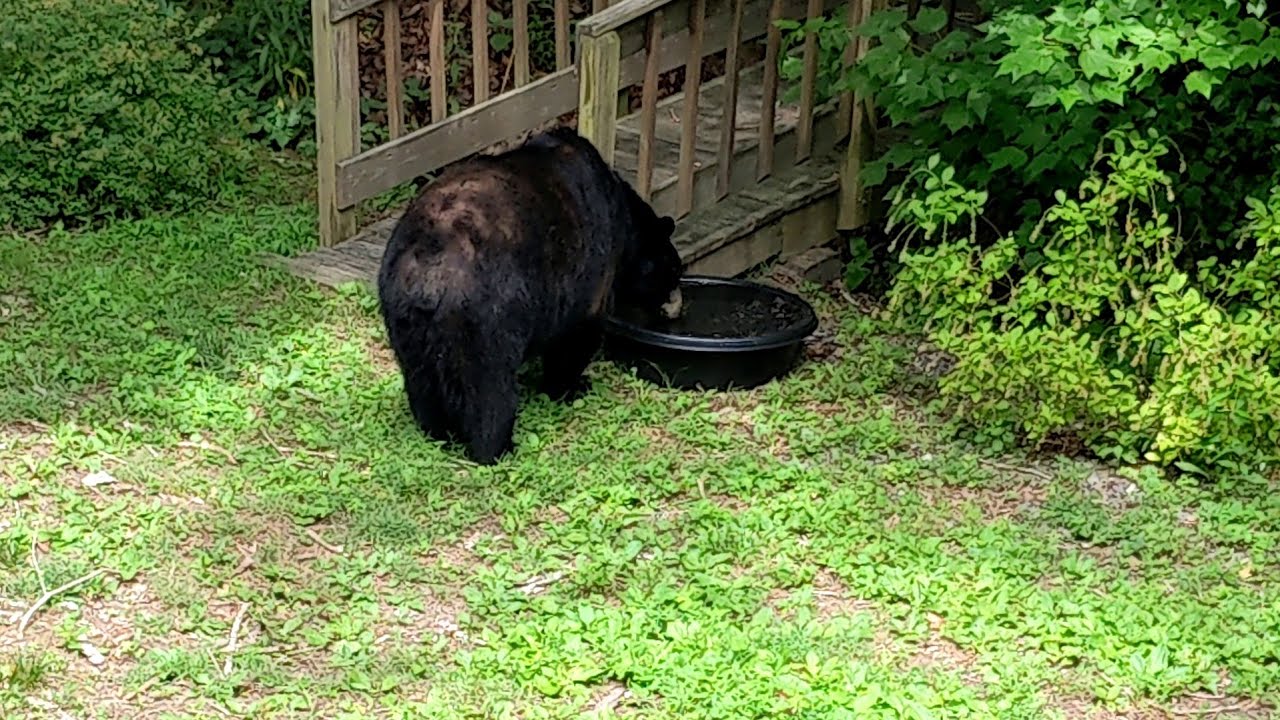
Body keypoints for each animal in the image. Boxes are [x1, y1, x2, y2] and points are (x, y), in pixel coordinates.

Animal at [377, 126, 684, 465]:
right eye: (675, 270)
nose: (677, 307)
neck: (622, 216)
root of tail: (430, 268)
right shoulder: (591, 270)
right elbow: (577, 336)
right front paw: (571, 385)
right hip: (486, 315)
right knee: (489, 391)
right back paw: (498, 447)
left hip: (403, 318)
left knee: (422, 382)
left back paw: (437, 432)